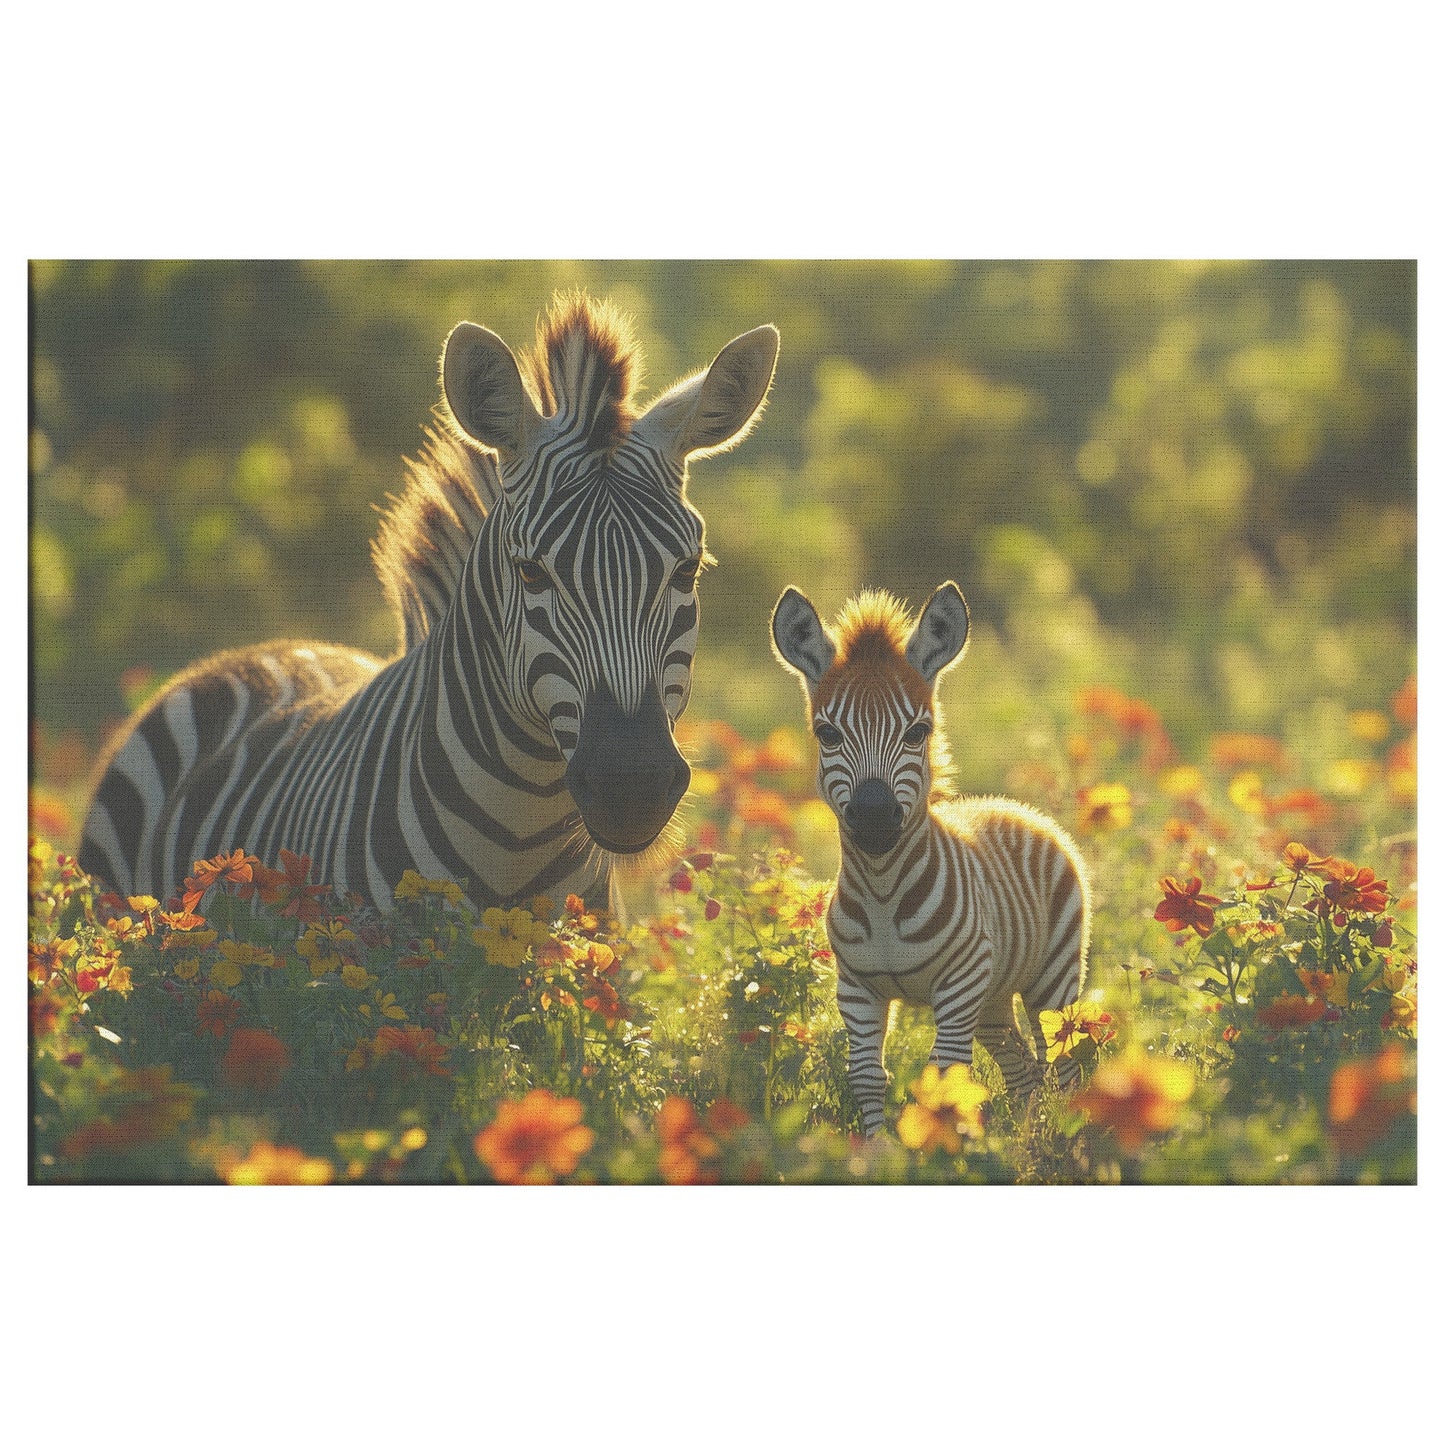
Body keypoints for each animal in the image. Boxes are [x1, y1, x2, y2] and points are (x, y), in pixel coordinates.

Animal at [770, 582, 1091, 1136]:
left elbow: (944, 1075)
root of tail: (1016, 808)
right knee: (1024, 1070)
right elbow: (867, 1076)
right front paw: (880, 1148)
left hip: (1051, 976)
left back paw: (1073, 1141)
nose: (875, 818)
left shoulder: (961, 980)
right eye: (827, 734)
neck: (881, 894)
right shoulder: (857, 988)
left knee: (1063, 1064)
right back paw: (1027, 1140)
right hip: (993, 998)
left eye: (918, 731)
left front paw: (941, 1145)